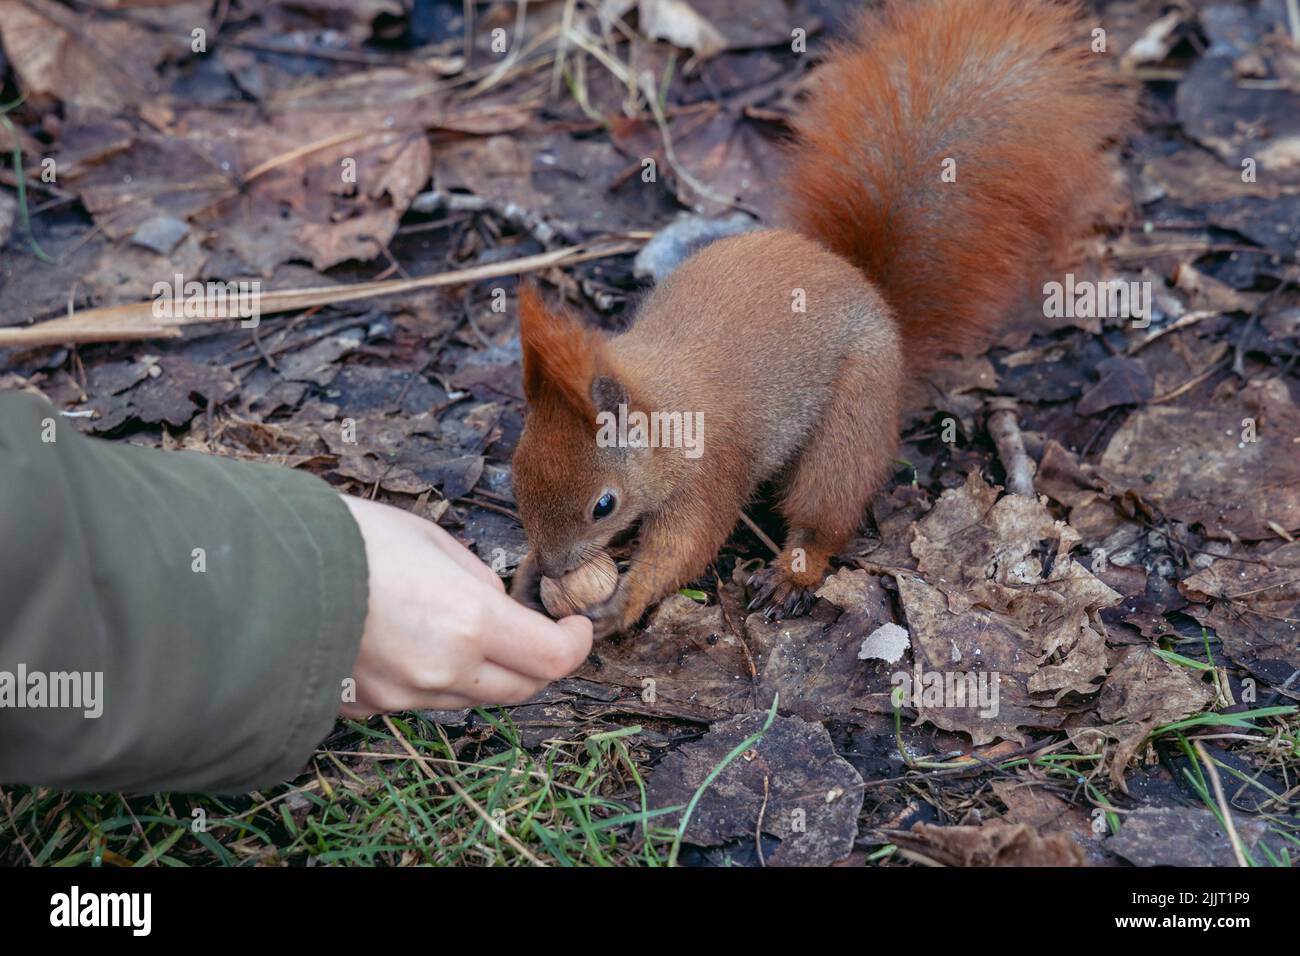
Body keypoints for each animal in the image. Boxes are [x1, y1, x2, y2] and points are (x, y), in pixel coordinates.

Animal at [508, 0, 1131, 638]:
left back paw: (794, 572)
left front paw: (624, 601)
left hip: (854, 411)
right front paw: (527, 576)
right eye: (514, 471)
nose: (553, 563)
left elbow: (688, 544)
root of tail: (863, 282)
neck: (665, 406)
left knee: (825, 509)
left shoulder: (713, 467)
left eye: (603, 505)